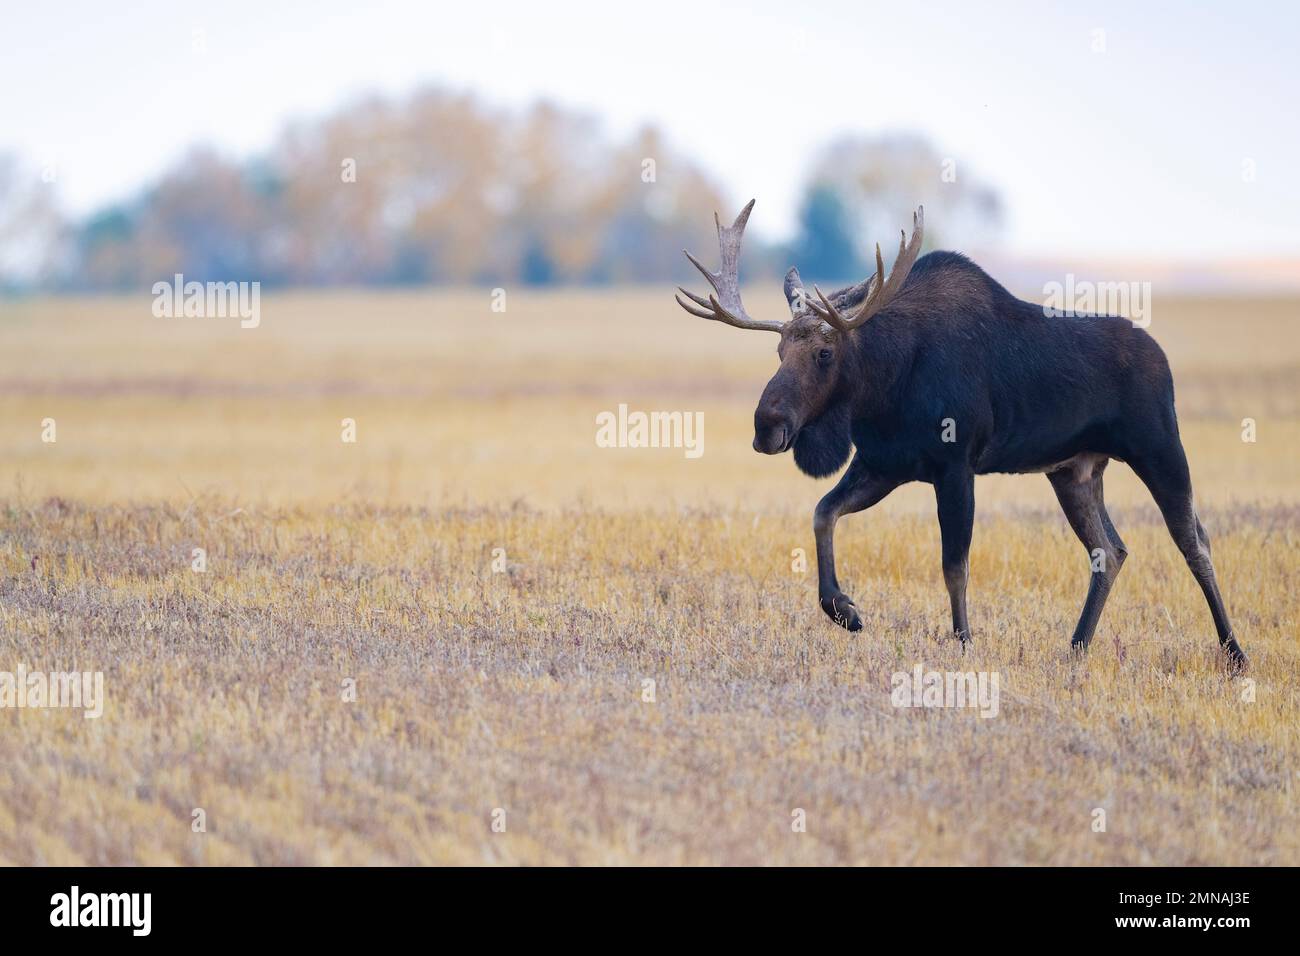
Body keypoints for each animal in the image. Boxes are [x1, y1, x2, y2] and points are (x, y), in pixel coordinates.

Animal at [675, 200, 1246, 668]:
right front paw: (844, 610)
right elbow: (822, 513)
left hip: (1159, 447)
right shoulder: (882, 464)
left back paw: (1235, 653)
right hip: (1074, 470)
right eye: (778, 351)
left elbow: (955, 565)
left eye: (823, 352)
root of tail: (1161, 357)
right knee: (1111, 549)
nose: (767, 426)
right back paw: (1077, 647)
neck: (883, 384)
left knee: (1194, 540)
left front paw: (964, 641)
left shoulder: (955, 467)